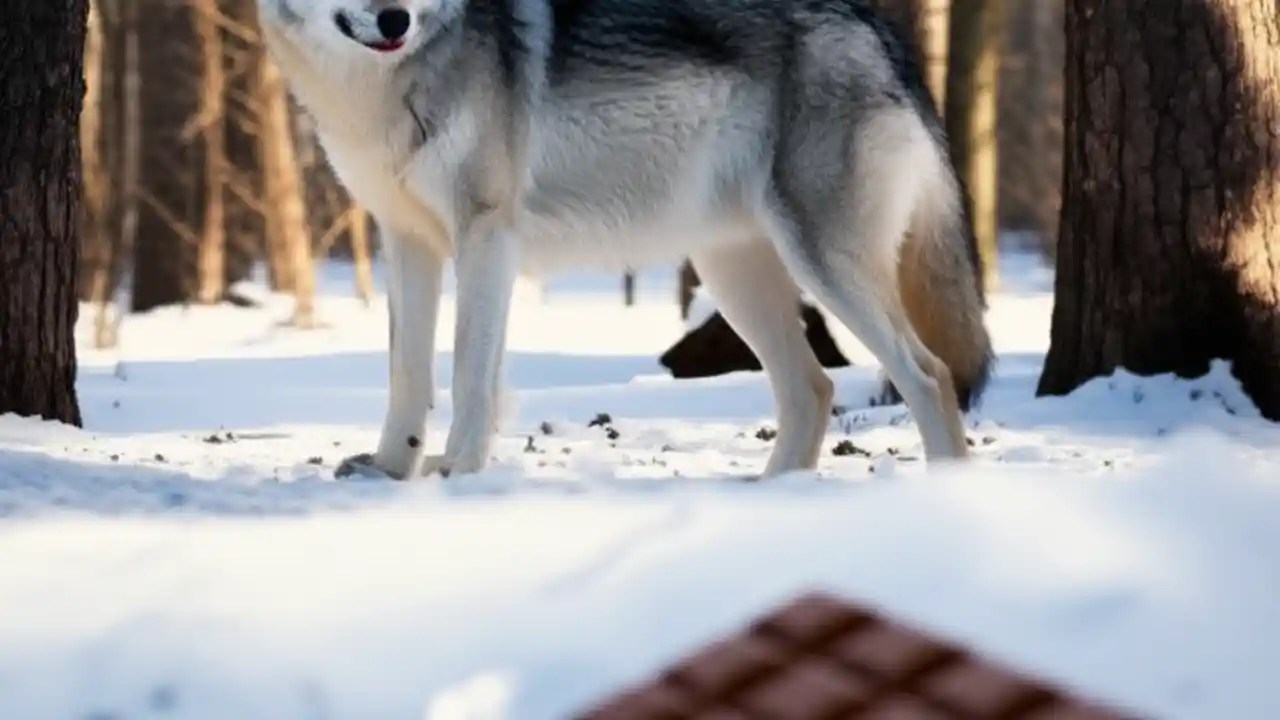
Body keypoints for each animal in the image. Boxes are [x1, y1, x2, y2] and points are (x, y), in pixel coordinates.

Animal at [256, 0, 994, 480]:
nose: (394, 20)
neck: (388, 87)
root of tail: (881, 31)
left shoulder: (487, 236)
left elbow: (468, 373)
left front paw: (457, 472)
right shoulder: (408, 242)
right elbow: (407, 372)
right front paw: (390, 469)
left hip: (822, 268)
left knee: (928, 376)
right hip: (734, 277)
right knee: (811, 390)